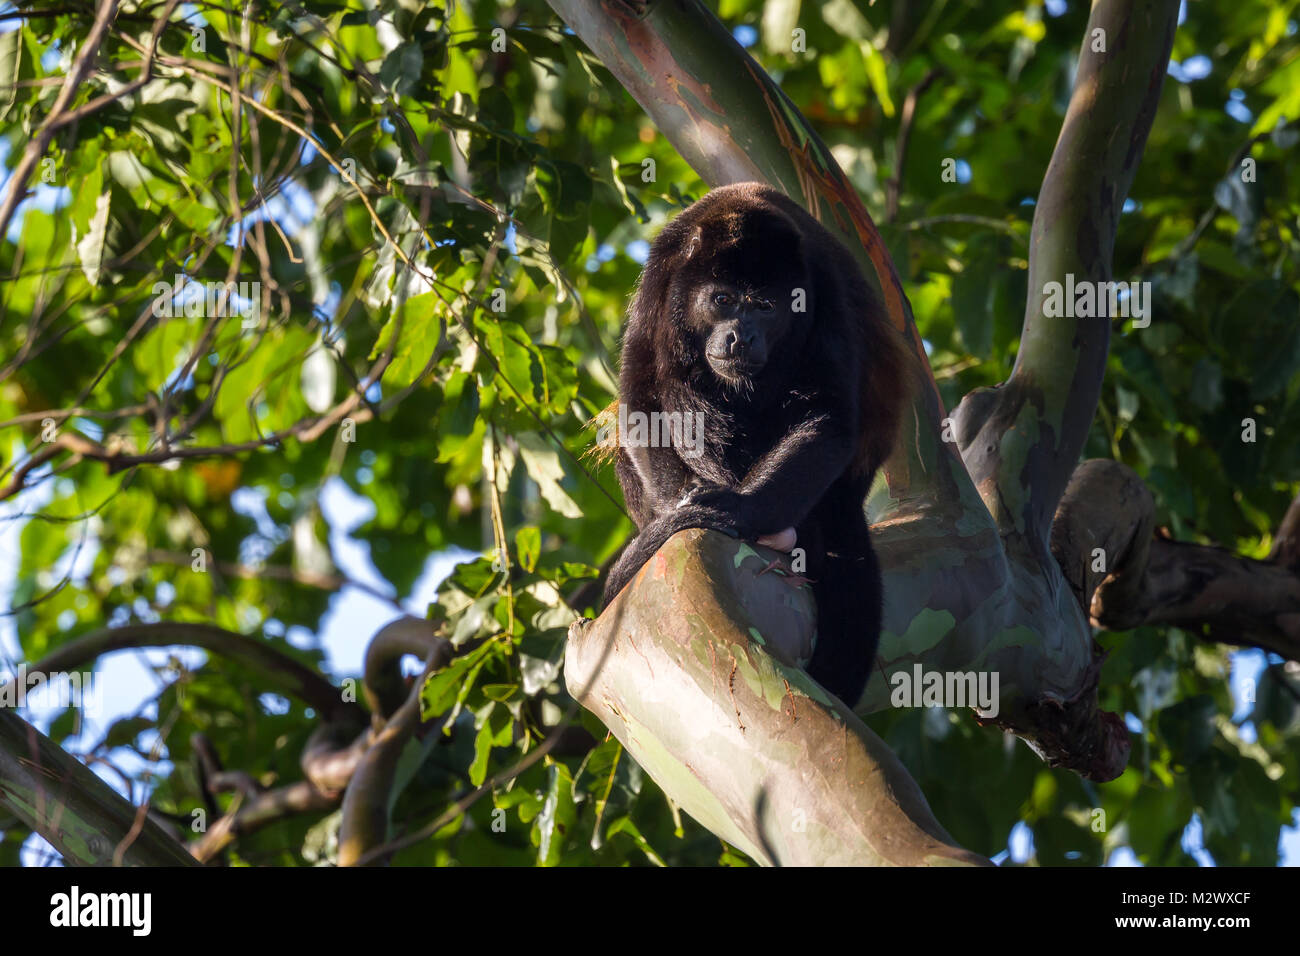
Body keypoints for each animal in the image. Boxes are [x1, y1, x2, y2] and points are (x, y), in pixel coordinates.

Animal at [600, 182, 910, 707]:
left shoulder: (822, 287)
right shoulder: (660, 277)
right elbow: (642, 398)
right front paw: (681, 506)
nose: (739, 337)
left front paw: (735, 509)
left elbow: (826, 416)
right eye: (722, 299)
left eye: (766, 306)